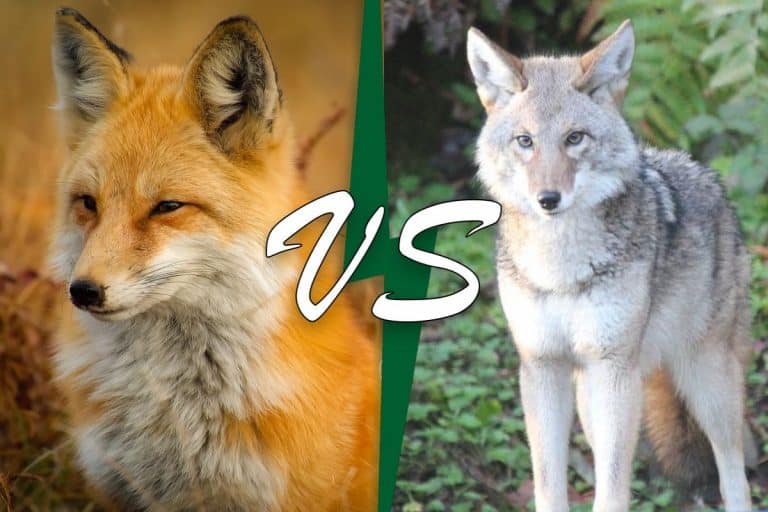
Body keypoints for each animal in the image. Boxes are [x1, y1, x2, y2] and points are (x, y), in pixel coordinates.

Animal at [467, 20, 754, 512]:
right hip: (591, 392)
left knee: (734, 470)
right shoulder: (542, 367)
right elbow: (549, 484)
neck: (560, 267)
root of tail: (707, 175)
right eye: (526, 141)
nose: (548, 199)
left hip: (704, 381)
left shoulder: (614, 367)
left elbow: (614, 489)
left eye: (574, 138)